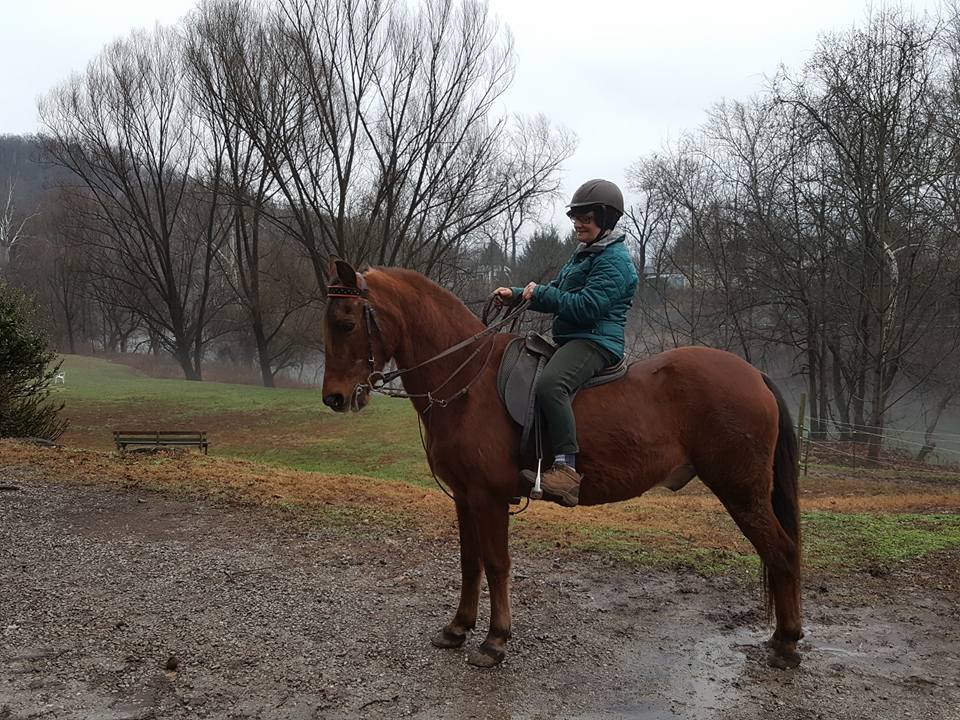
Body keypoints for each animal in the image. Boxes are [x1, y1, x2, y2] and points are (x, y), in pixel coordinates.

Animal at [321, 258, 802, 669]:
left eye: (346, 323)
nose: (335, 398)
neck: (467, 380)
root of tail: (754, 374)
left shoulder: (488, 498)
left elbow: (496, 564)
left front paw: (494, 641)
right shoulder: (464, 497)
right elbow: (469, 562)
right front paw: (457, 628)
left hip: (741, 492)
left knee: (781, 552)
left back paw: (787, 644)